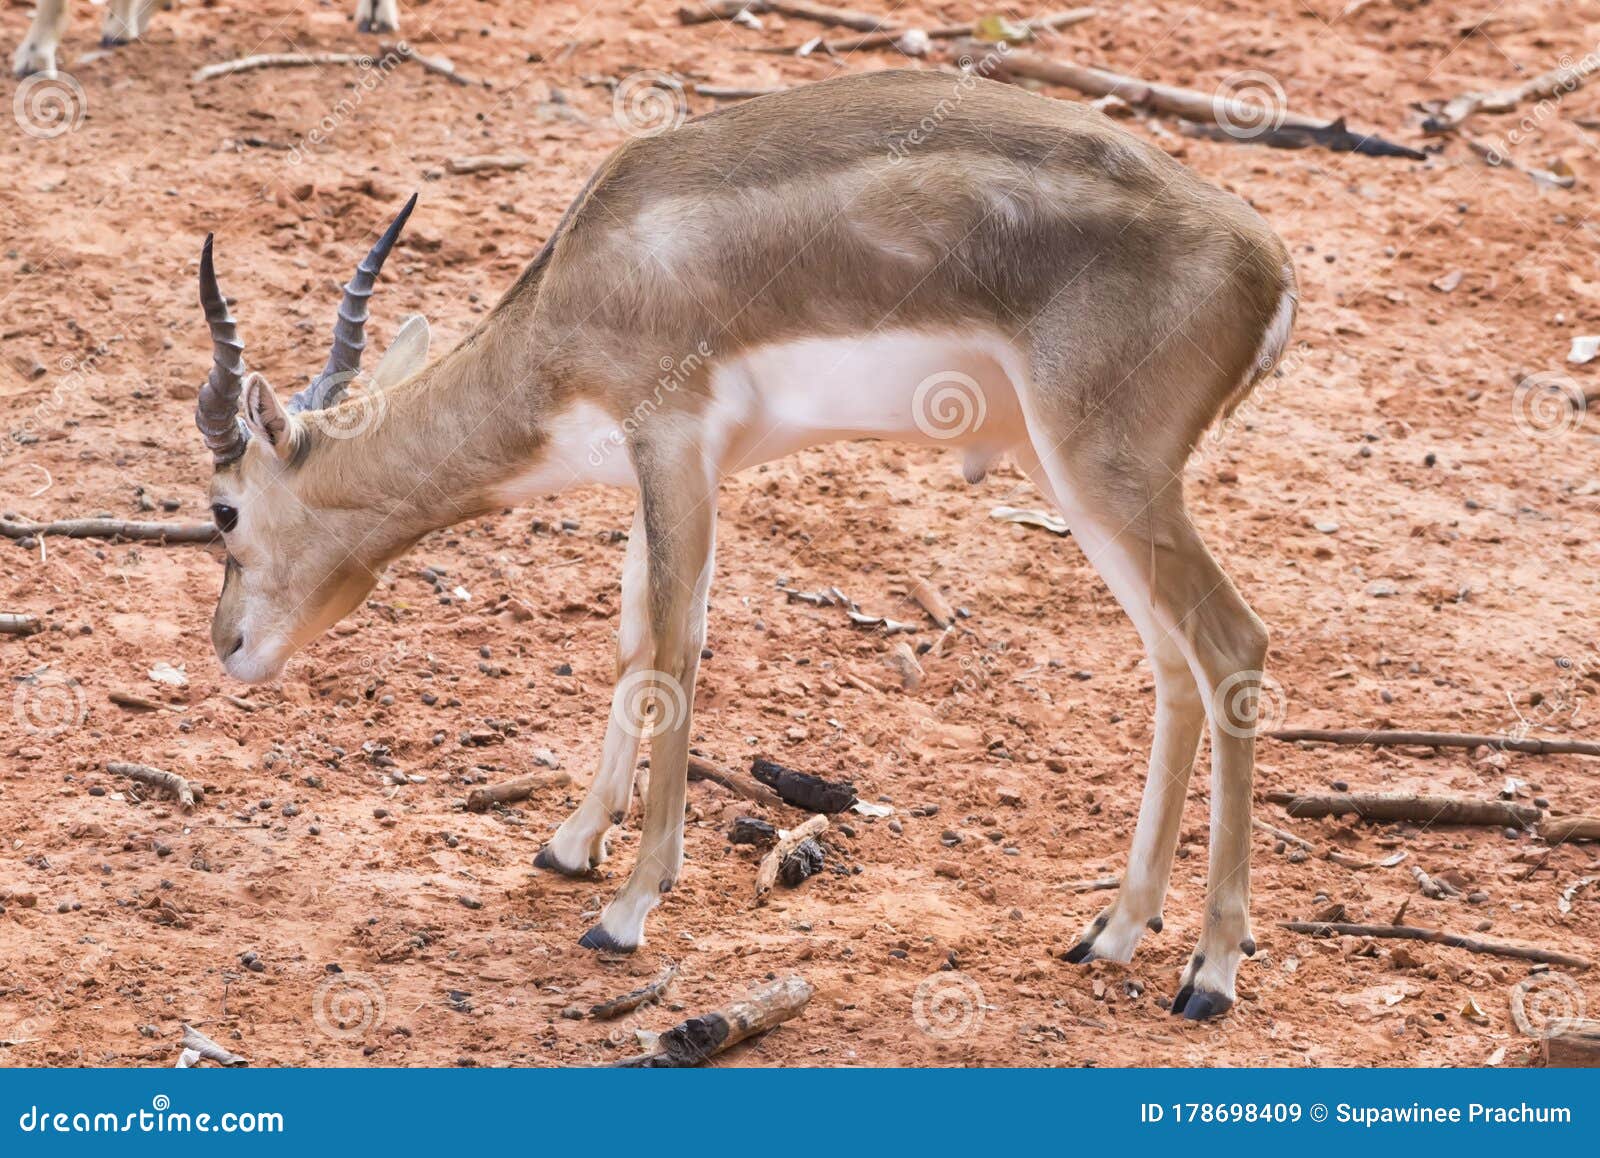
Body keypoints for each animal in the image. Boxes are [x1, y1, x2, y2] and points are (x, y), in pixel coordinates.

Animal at [193, 69, 1295, 1020]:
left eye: (225, 511)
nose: (229, 647)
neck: (587, 278)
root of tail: (1268, 265)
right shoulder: (668, 468)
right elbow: (633, 639)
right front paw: (571, 845)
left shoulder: (674, 444)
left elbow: (675, 651)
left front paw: (627, 911)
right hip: (1071, 478)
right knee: (1173, 664)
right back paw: (1114, 930)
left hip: (1105, 476)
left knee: (1231, 643)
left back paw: (1209, 973)